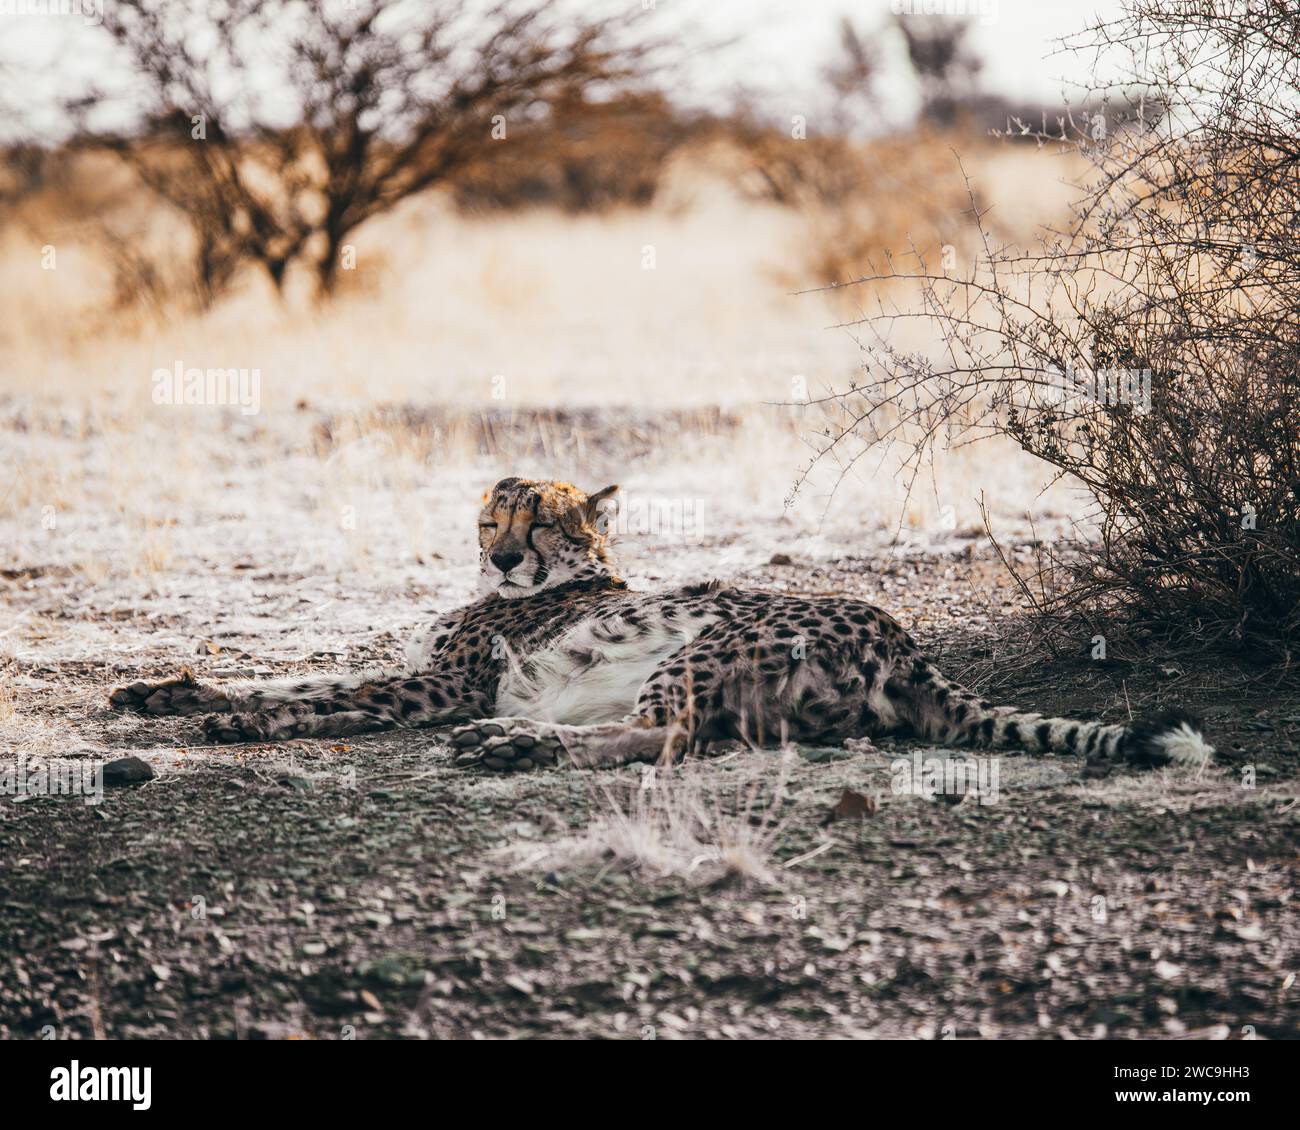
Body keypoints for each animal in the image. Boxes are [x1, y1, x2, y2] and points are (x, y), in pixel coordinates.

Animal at [109, 475, 1215, 776]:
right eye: (492, 518)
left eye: (542, 522)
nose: (504, 559)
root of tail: (904, 637)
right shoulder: (429, 675)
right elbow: (298, 681)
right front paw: (169, 692)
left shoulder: (442, 682)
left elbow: (327, 693)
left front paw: (233, 720)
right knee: (691, 737)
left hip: (706, 642)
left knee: (668, 734)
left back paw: (510, 742)